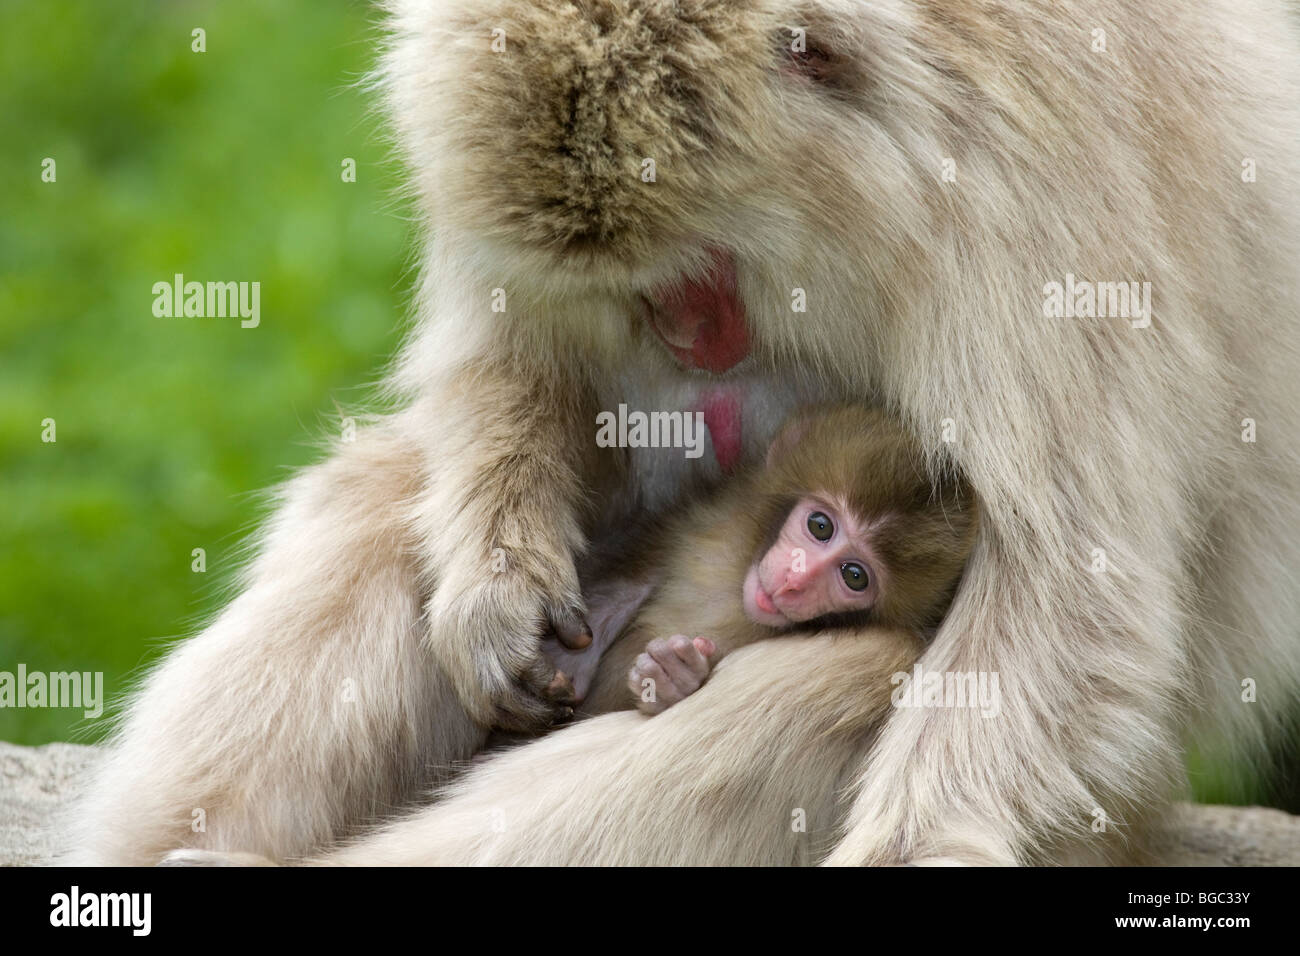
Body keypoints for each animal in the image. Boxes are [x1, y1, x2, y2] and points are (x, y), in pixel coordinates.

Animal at [66, 0, 1300, 867]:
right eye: (634, 285)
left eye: (712, 262)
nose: (690, 340)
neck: (885, 179)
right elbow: (520, 358)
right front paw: (496, 599)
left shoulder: (1029, 205)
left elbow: (1073, 591)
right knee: (383, 498)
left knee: (845, 677)